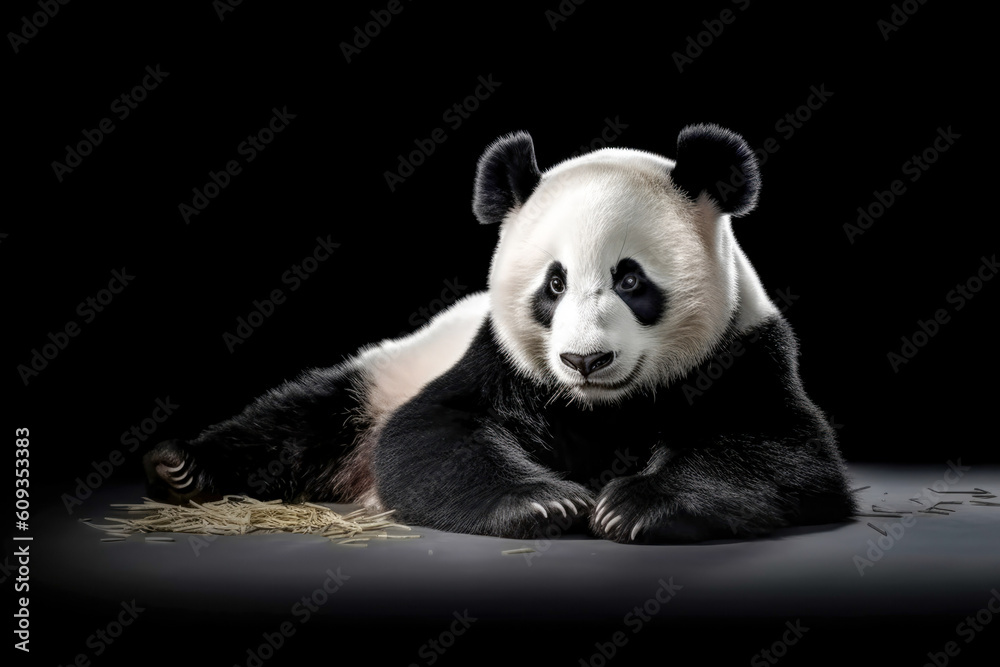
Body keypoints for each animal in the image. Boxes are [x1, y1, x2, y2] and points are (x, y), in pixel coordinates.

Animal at [148, 123, 857, 543]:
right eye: (554, 284)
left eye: (630, 279)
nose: (584, 360)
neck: (607, 407)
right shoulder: (502, 360)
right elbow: (433, 430)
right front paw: (545, 505)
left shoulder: (741, 350)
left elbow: (776, 449)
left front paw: (631, 507)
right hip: (383, 374)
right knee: (308, 416)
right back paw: (184, 468)